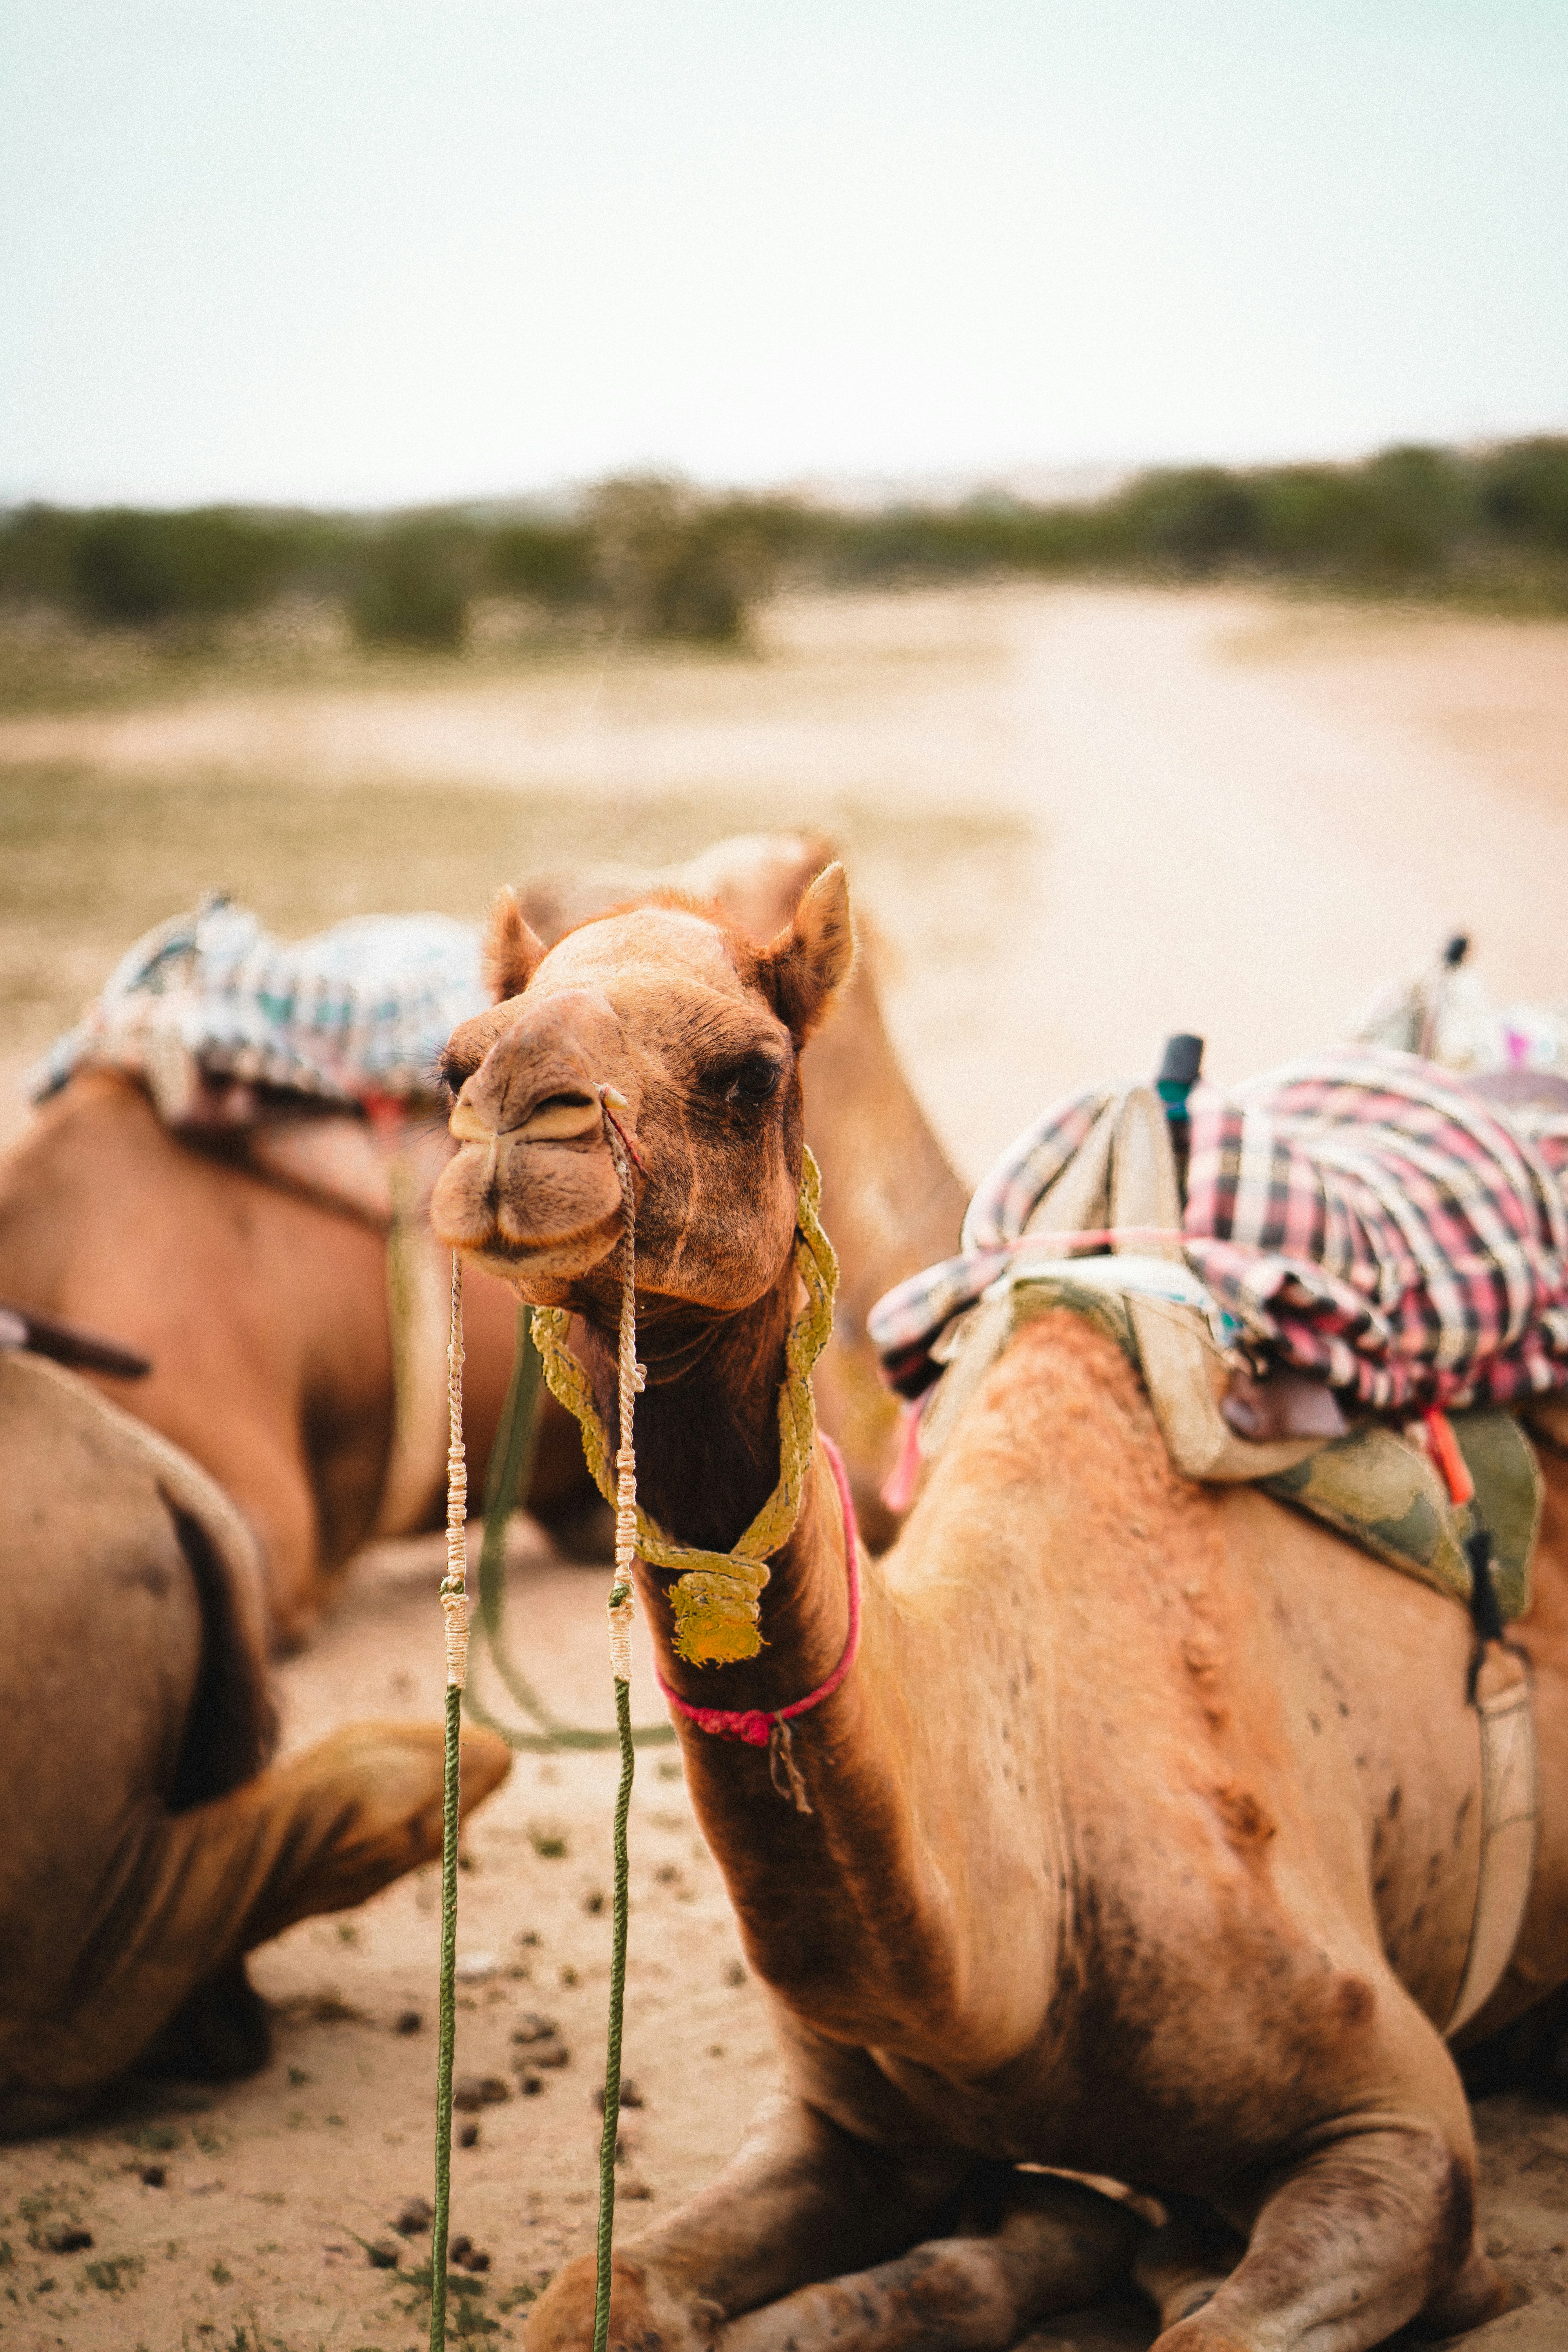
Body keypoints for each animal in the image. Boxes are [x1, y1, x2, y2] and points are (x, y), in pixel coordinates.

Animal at [430, 865, 1568, 2352]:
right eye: (451, 1062)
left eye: (750, 1070)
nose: (514, 1113)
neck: (1022, 1935)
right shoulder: (843, 2127)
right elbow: (598, 2288)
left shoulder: (1394, 2115)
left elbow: (1218, 2320)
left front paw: (1152, 2254)